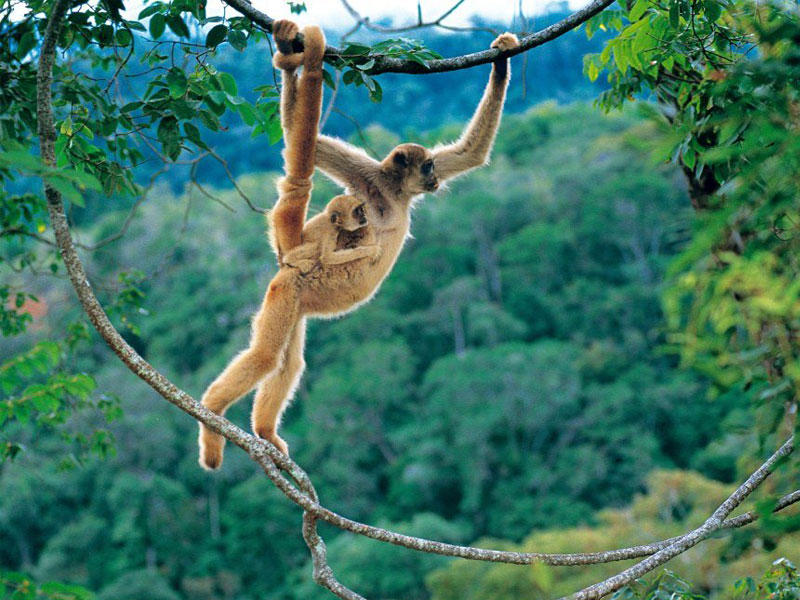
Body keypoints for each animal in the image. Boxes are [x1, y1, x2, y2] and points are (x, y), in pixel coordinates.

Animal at [198, 21, 519, 469]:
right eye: (427, 166)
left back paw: (264, 431)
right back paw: (212, 410)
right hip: (292, 287)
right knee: (266, 356)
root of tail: (290, 261)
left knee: (288, 361)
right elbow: (306, 141)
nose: (435, 178)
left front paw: (502, 59)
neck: (394, 193)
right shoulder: (367, 178)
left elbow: (470, 155)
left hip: (296, 302)